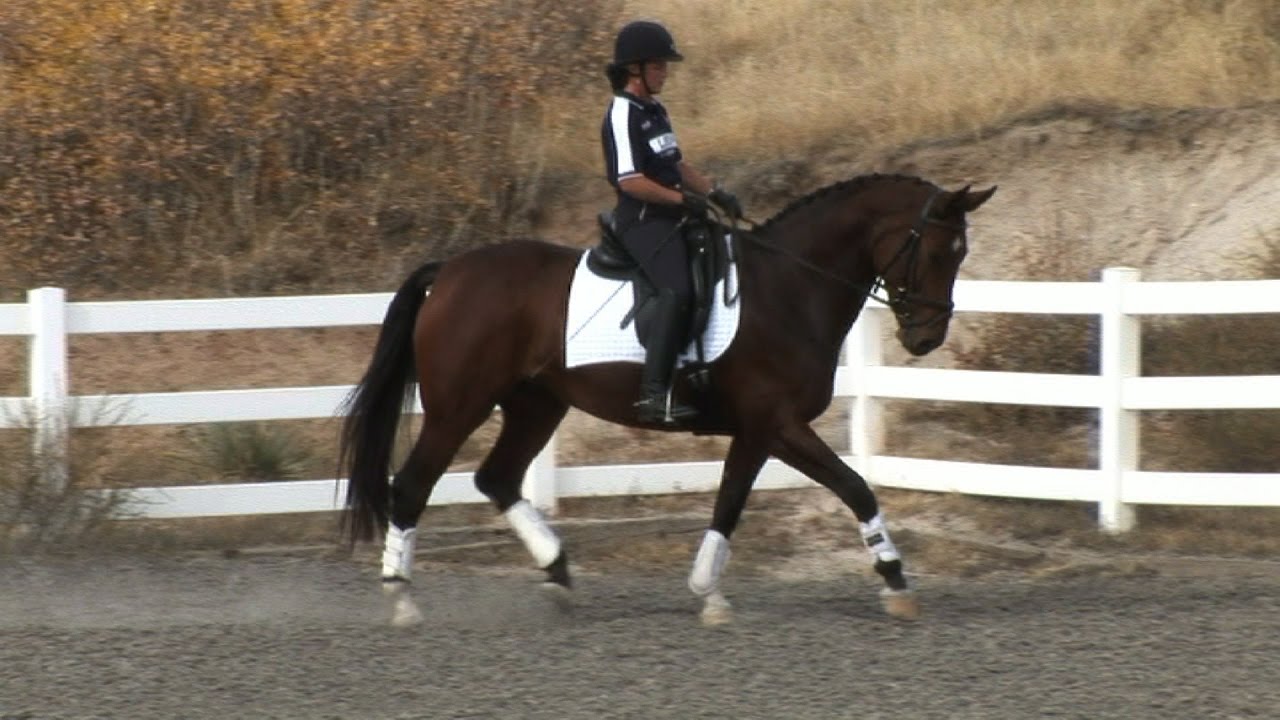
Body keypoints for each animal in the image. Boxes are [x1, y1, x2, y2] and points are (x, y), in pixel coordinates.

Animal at [339, 173, 996, 626]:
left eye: (961, 254)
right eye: (937, 251)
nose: (926, 337)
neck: (792, 288)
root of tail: (450, 270)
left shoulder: (758, 431)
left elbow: (730, 503)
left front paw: (709, 593)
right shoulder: (778, 424)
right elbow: (854, 487)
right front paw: (895, 579)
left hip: (537, 404)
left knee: (497, 478)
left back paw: (558, 573)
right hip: (458, 406)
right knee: (412, 486)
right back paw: (402, 600)